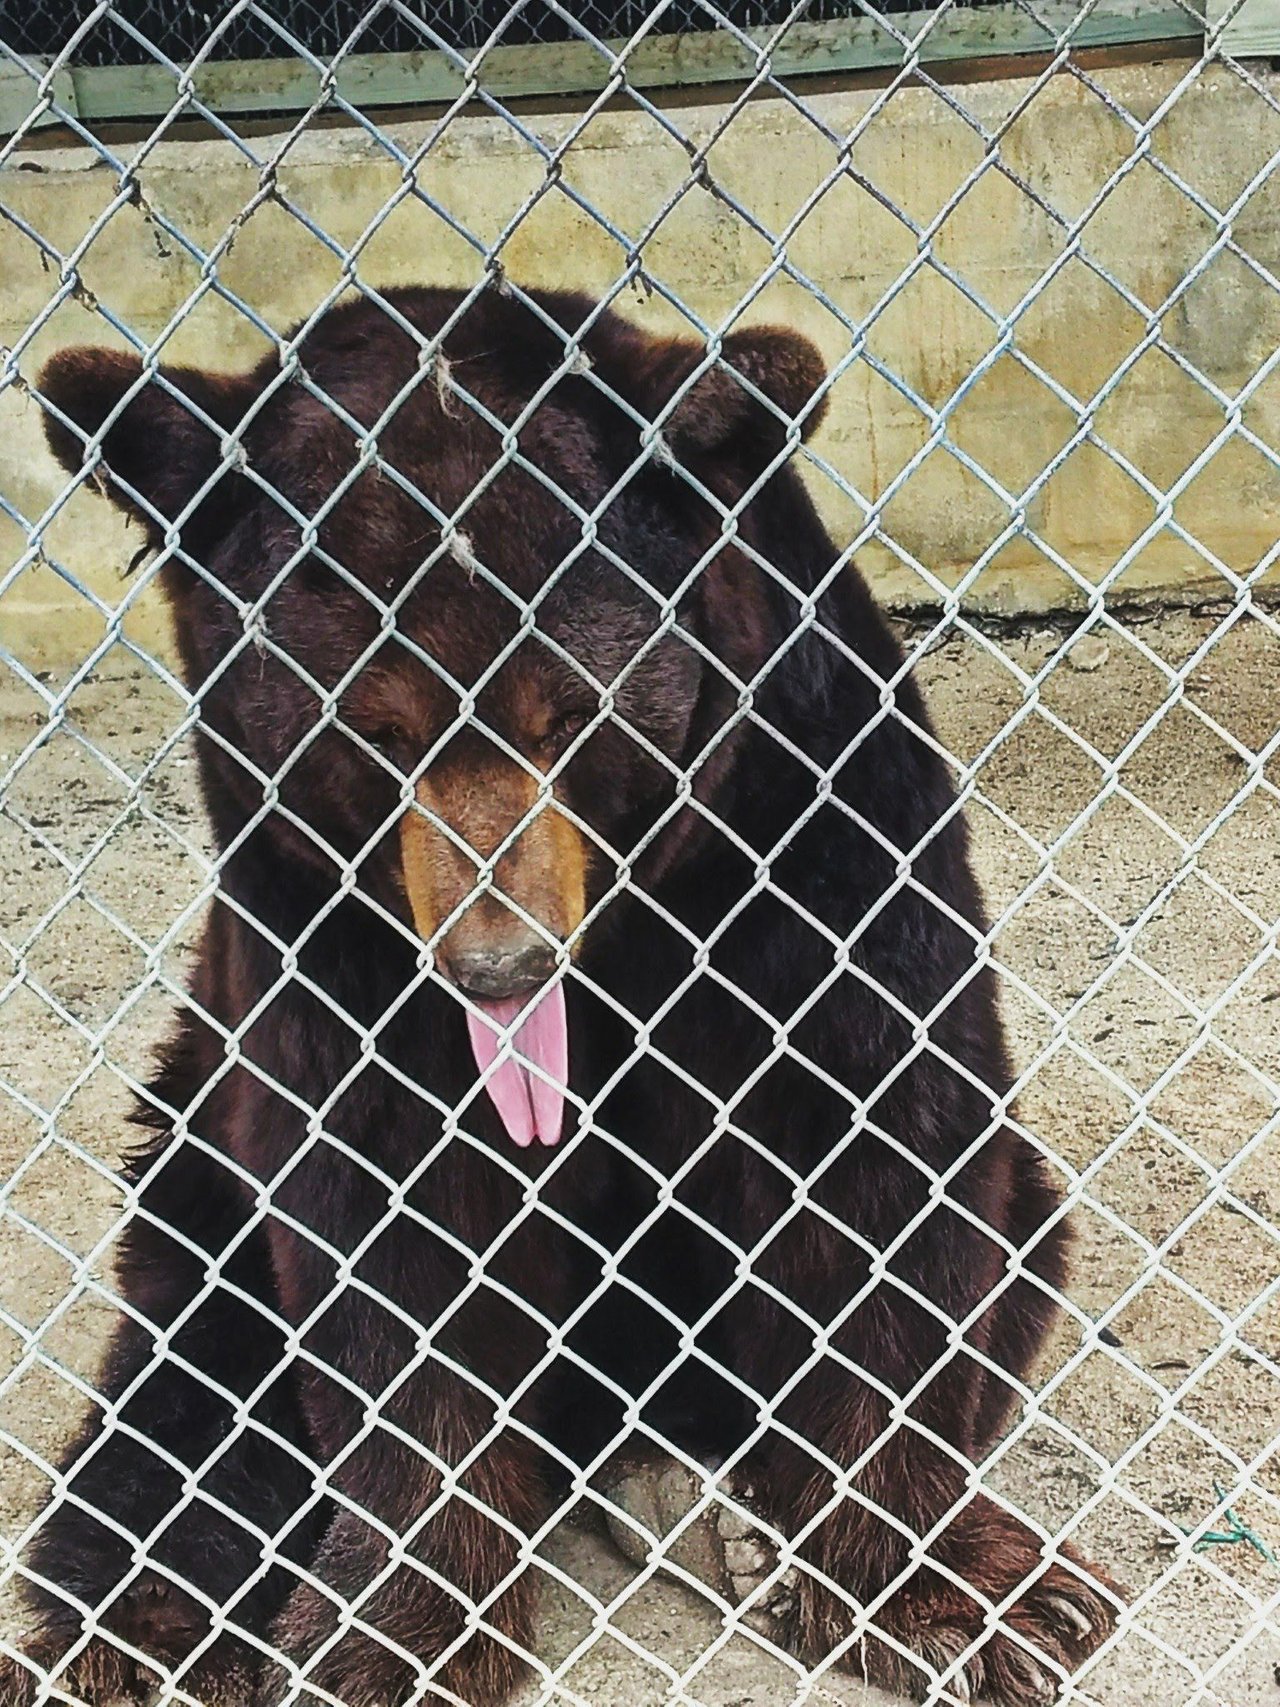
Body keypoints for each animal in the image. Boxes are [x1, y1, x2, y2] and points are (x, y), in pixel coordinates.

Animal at [2, 282, 1117, 1707]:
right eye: (372, 731)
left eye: (567, 715)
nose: (499, 964)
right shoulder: (320, 929)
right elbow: (388, 1236)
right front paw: (394, 1639)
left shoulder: (808, 823)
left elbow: (870, 1157)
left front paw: (961, 1600)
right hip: (194, 1144)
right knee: (188, 1372)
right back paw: (135, 1633)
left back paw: (700, 1500)